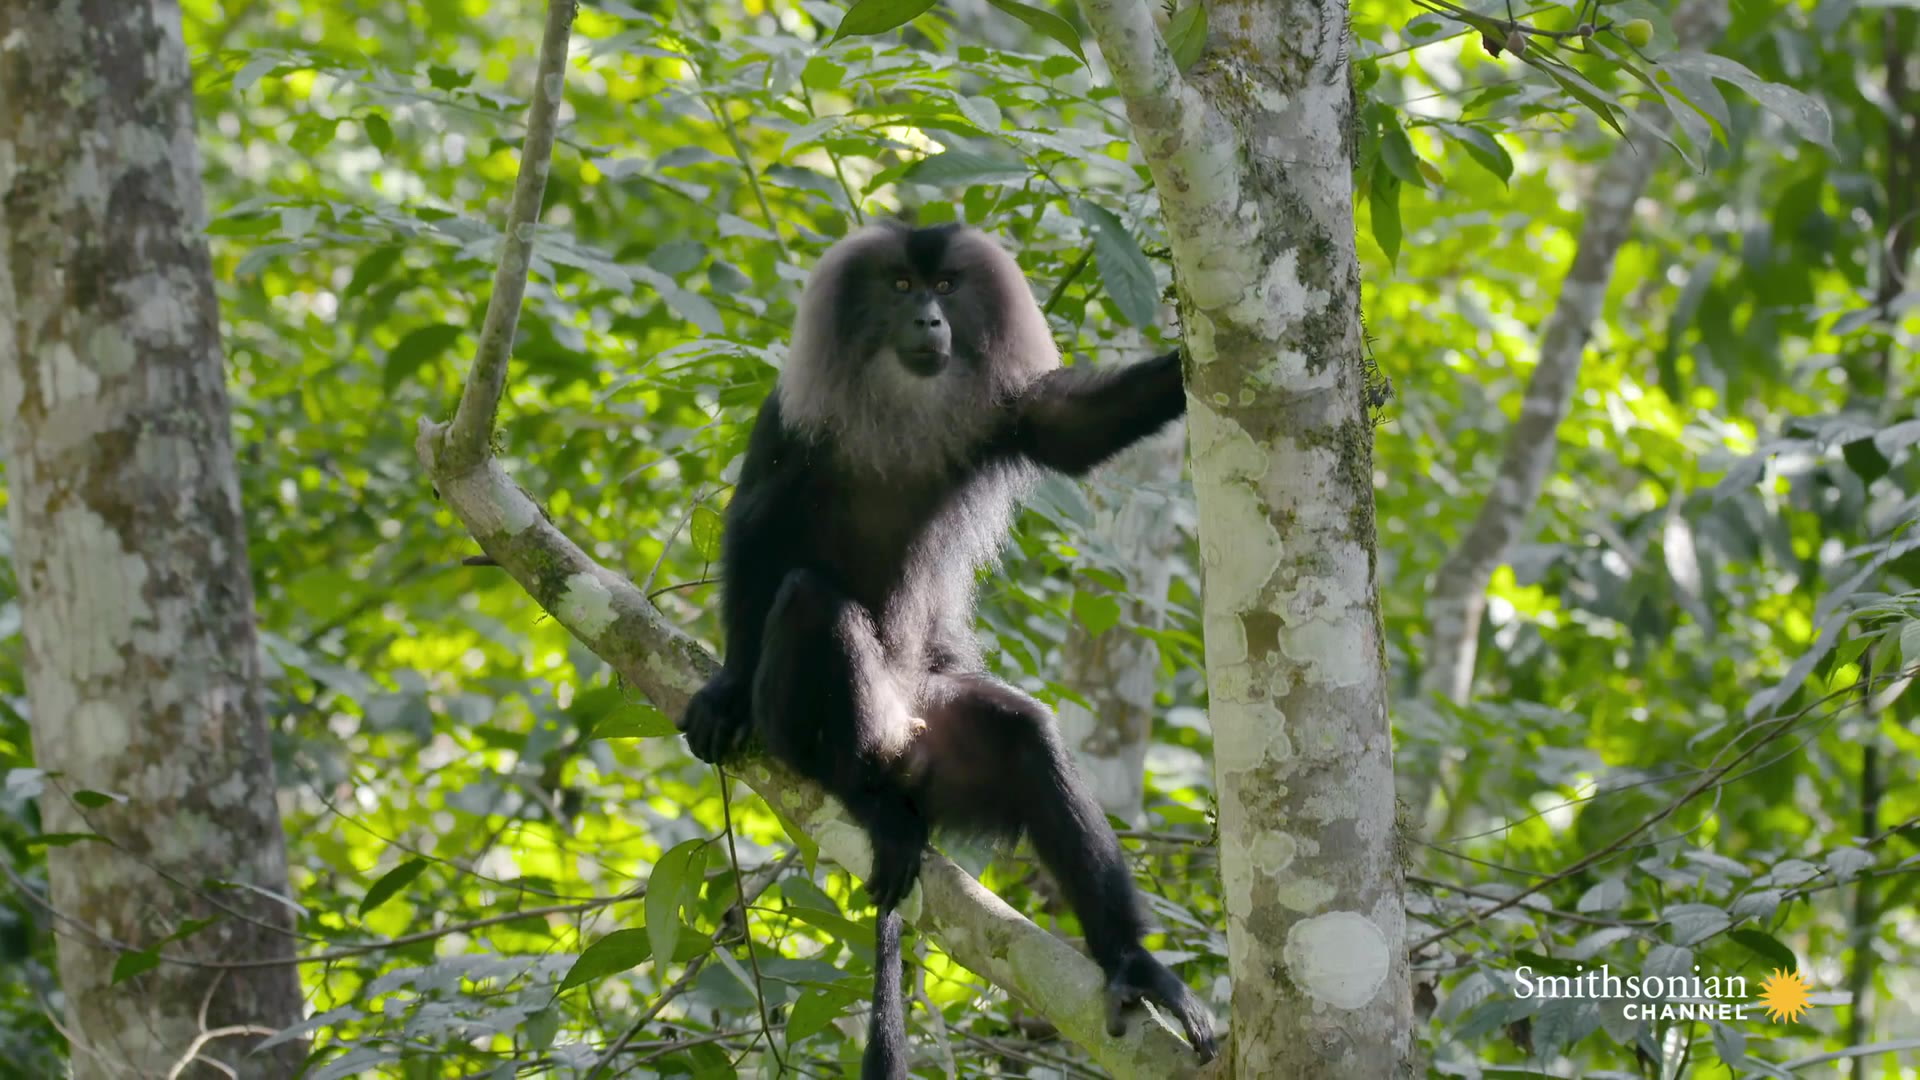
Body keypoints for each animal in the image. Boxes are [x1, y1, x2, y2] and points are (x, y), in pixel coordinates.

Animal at [677, 220, 1217, 1077]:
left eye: (945, 289)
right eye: (900, 287)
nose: (930, 320)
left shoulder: (1000, 414)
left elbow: (1073, 432)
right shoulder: (787, 421)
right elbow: (756, 531)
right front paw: (725, 691)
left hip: (943, 736)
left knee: (1026, 740)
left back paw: (1131, 966)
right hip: (828, 726)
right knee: (808, 603)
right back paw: (867, 801)